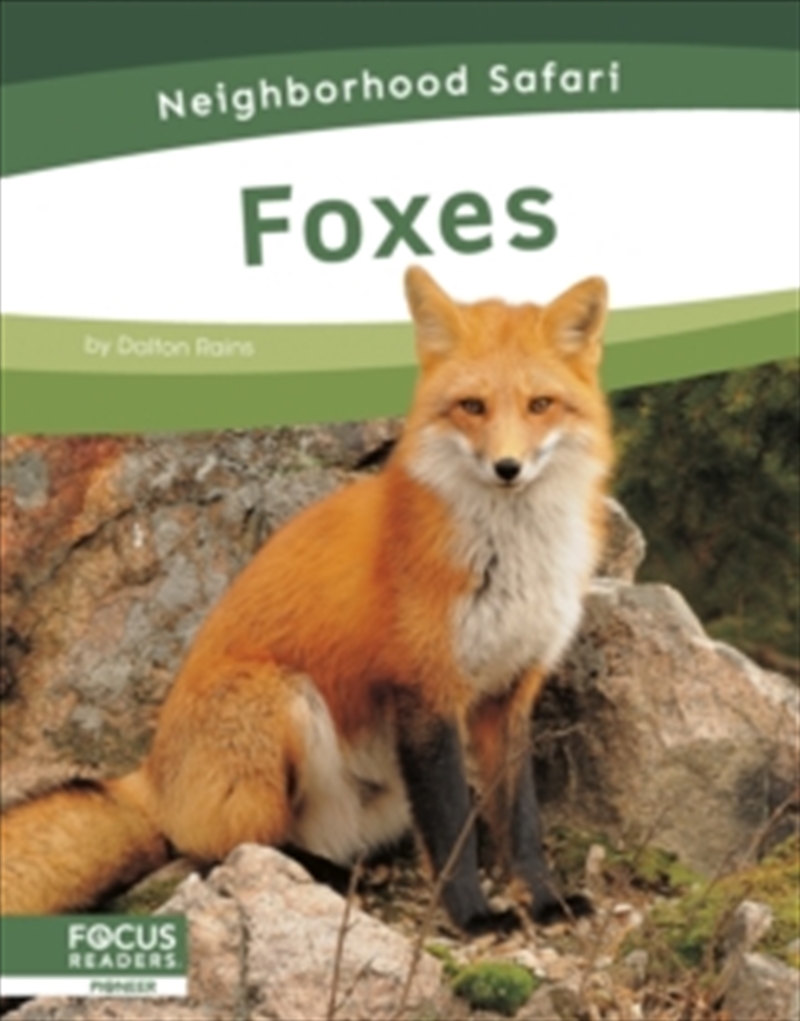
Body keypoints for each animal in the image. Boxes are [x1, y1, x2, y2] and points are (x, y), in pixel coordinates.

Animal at [1, 266, 613, 934]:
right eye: (472, 406)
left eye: (540, 405)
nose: (508, 467)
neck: (509, 558)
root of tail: (153, 774)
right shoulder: (425, 689)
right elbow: (452, 830)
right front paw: (473, 918)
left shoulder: (512, 691)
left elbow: (521, 821)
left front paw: (548, 902)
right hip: (277, 697)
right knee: (227, 847)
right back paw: (323, 875)